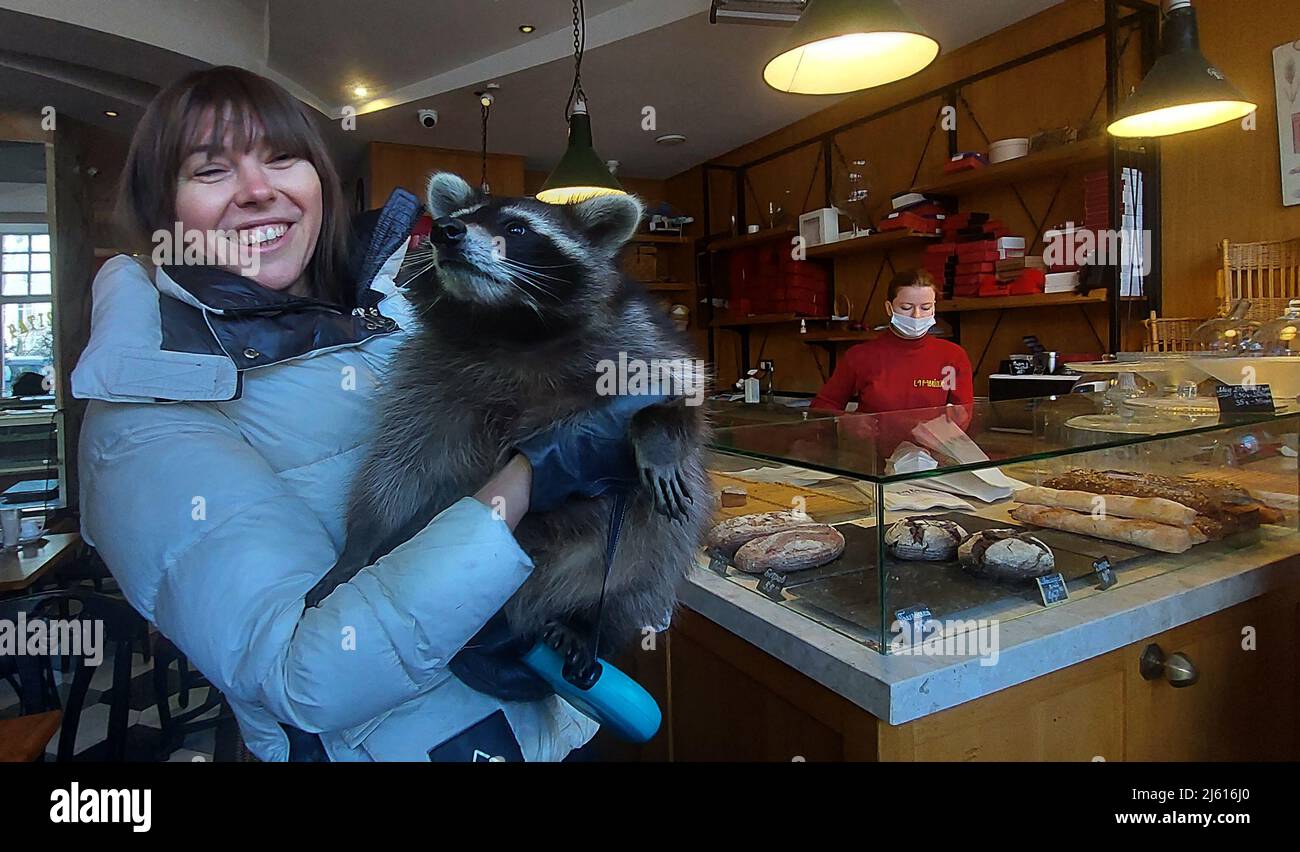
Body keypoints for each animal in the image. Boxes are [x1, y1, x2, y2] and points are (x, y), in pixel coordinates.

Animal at [305, 172, 714, 689]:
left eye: (517, 229)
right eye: (455, 219)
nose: (445, 233)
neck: (508, 325)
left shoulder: (636, 336)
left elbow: (683, 392)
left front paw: (658, 428)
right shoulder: (432, 376)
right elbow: (398, 464)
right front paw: (363, 538)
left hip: (625, 557)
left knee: (654, 561)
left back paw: (595, 622)